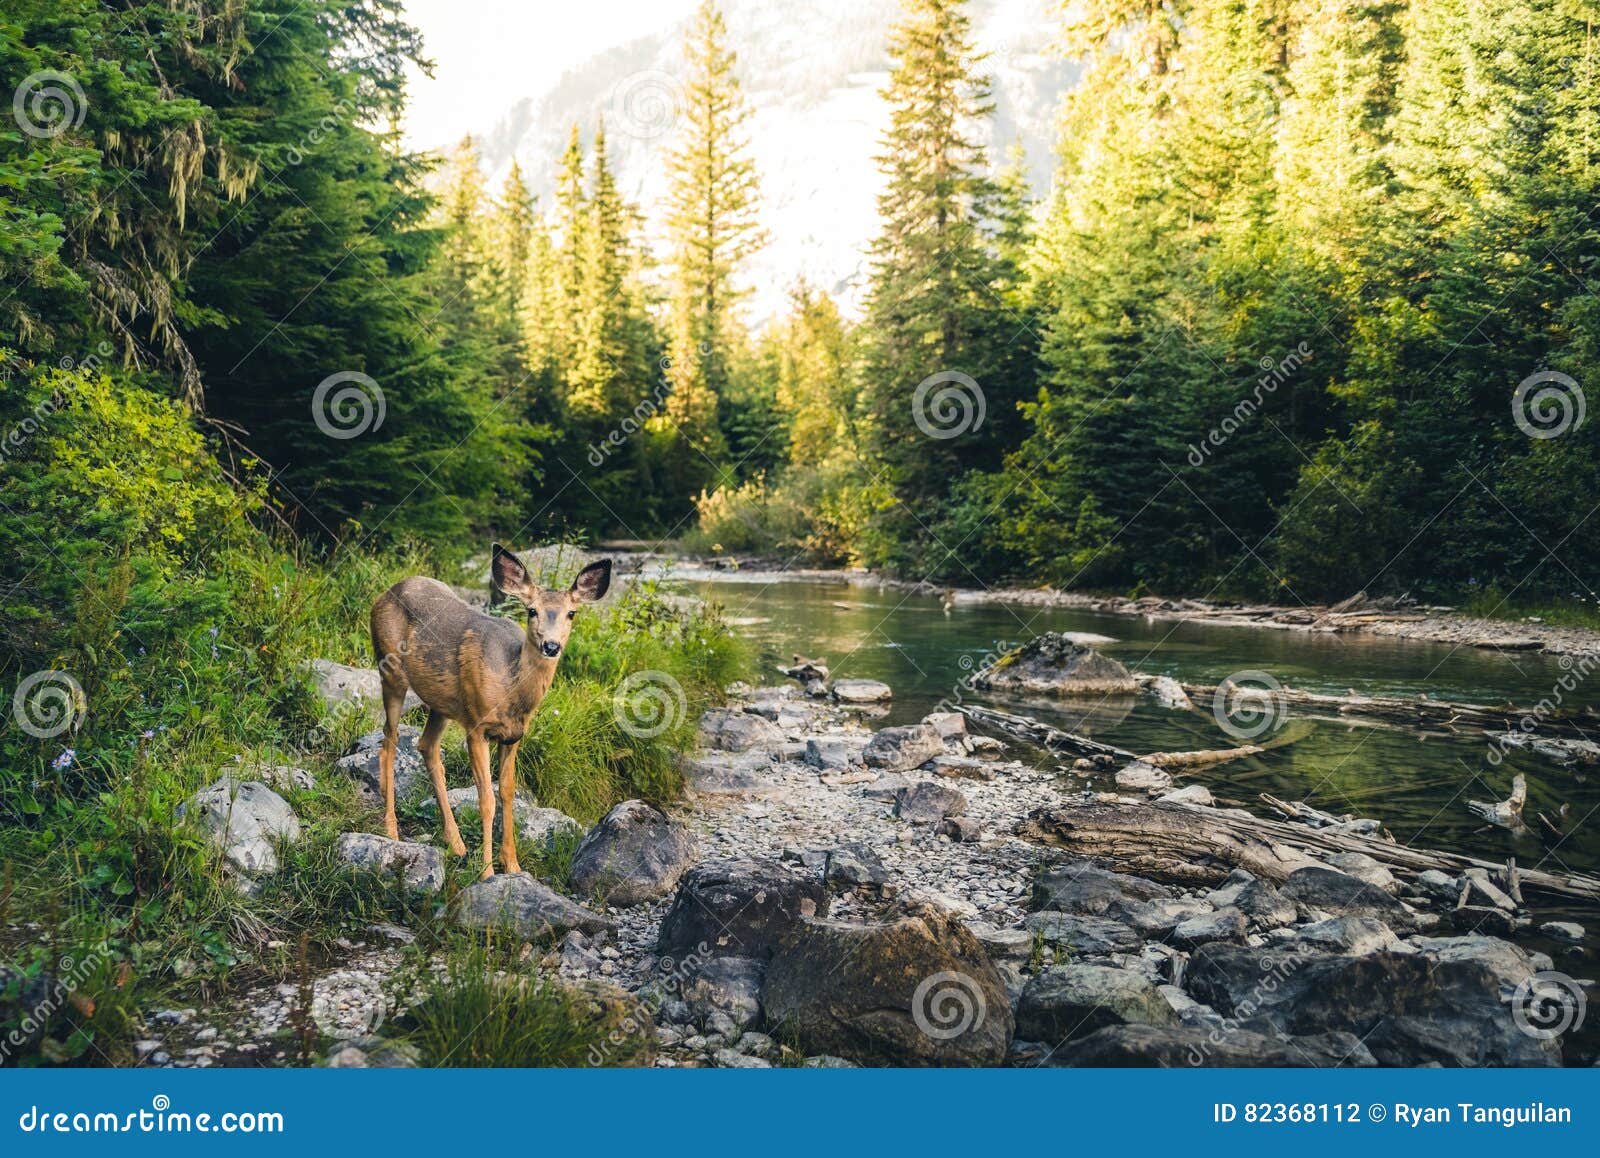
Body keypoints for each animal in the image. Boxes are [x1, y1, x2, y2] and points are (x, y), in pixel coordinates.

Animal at [369, 544, 612, 878]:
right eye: (531, 610)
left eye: (571, 613)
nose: (551, 646)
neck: (511, 690)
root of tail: (385, 593)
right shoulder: (476, 727)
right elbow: (486, 799)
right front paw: (487, 872)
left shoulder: (514, 735)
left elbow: (507, 793)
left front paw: (513, 864)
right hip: (390, 670)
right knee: (389, 741)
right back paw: (391, 829)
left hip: (442, 703)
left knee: (426, 745)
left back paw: (456, 843)